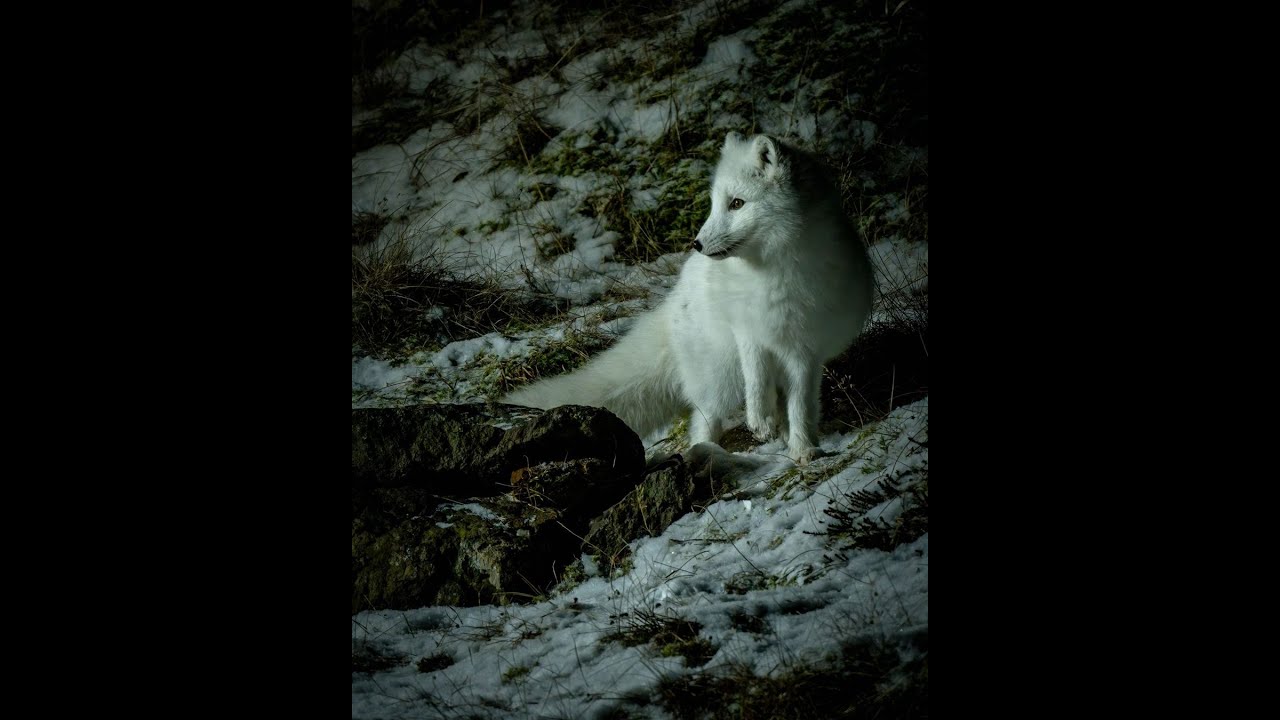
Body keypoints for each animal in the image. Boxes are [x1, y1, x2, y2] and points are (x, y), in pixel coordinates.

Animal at [504, 132, 874, 465]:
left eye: (736, 203)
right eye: (714, 203)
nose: (696, 243)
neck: (774, 272)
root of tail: (674, 297)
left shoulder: (804, 349)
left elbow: (801, 405)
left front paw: (803, 448)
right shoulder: (747, 332)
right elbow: (756, 381)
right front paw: (760, 420)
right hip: (723, 377)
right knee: (704, 417)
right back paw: (709, 451)